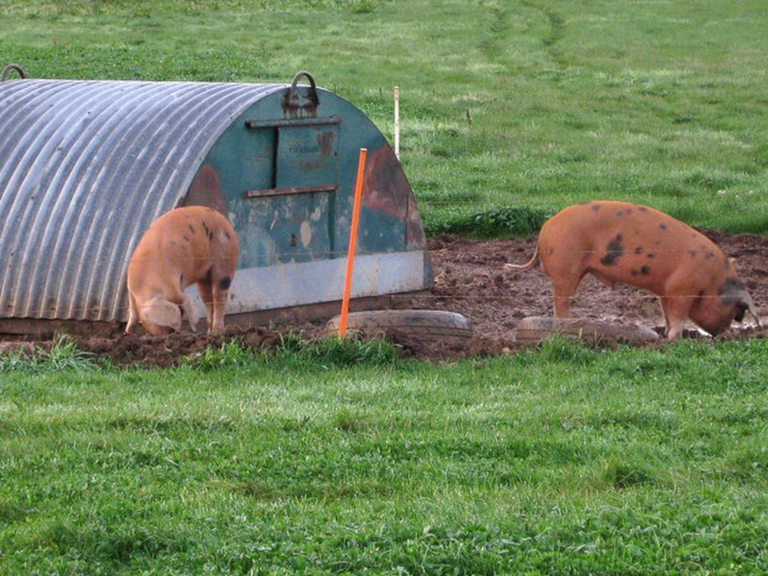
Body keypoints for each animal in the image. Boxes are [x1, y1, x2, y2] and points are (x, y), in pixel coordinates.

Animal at [125, 205, 239, 336]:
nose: (167, 335)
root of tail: (224, 221)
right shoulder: (131, 291)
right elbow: (132, 313)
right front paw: (127, 332)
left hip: (225, 263)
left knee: (220, 298)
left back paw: (216, 332)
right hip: (203, 277)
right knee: (208, 300)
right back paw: (209, 333)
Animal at [506, 201, 759, 340]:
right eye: (734, 311)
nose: (725, 335)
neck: (713, 281)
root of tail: (545, 229)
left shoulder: (666, 291)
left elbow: (668, 314)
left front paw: (664, 335)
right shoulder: (681, 289)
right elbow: (678, 316)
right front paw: (674, 339)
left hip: (574, 271)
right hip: (565, 266)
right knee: (561, 301)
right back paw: (565, 324)